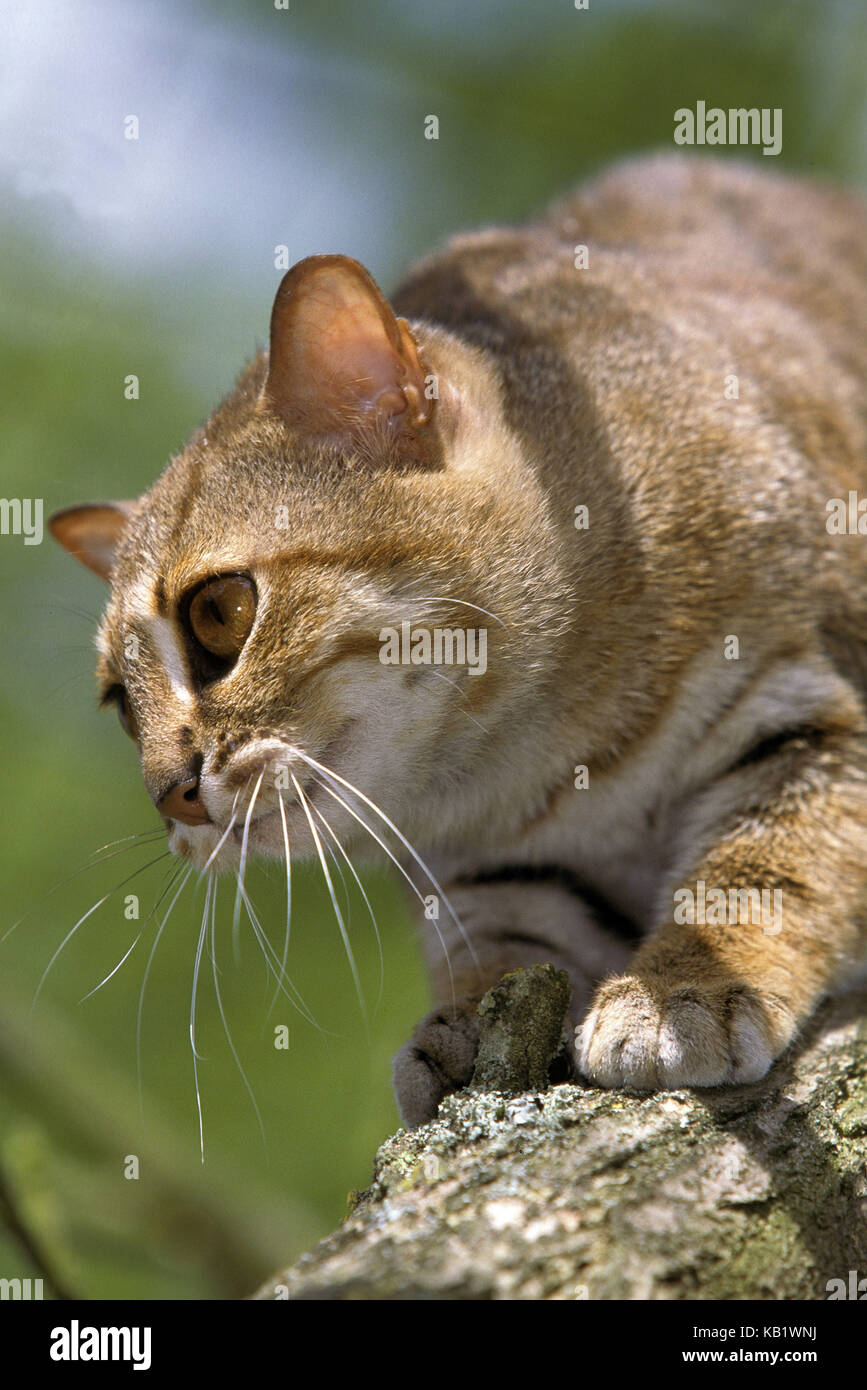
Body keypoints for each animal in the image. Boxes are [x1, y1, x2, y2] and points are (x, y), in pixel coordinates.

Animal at [48, 154, 867, 1128]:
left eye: (219, 613)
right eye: (117, 704)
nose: (169, 797)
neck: (533, 762)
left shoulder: (811, 712)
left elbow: (758, 869)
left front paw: (680, 990)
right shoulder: (497, 869)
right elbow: (504, 947)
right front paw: (467, 1025)